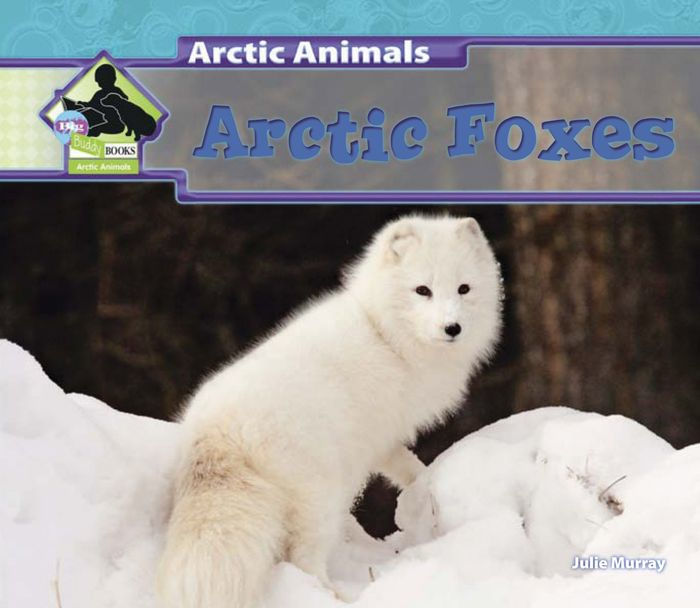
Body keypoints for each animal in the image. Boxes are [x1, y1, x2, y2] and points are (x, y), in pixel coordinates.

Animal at [156, 214, 504, 608]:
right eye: (422, 290)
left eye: (463, 288)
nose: (452, 328)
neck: (385, 335)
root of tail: (215, 433)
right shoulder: (381, 430)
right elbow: (411, 466)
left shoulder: (381, 439)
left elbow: (408, 467)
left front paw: (424, 486)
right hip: (321, 497)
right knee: (302, 557)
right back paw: (333, 595)